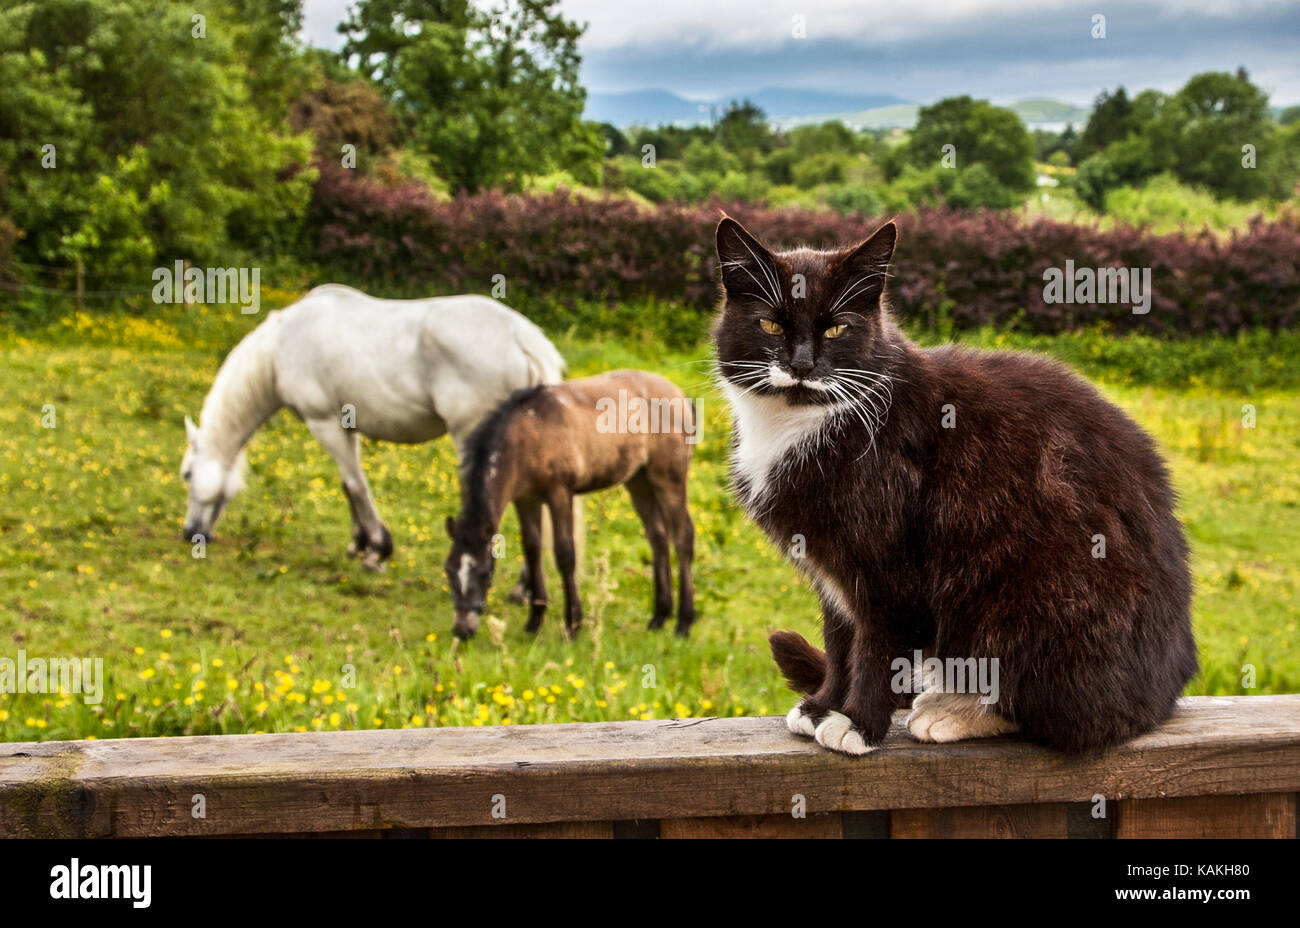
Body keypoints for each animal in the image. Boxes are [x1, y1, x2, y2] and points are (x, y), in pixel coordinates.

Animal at [180, 284, 566, 570]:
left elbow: (355, 485)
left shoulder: (324, 423)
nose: (189, 533)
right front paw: (359, 544)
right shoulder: (345, 426)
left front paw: (377, 549)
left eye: (187, 474)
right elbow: (349, 485)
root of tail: (521, 337)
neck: (281, 346)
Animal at [444, 369, 697, 641]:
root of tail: (680, 395)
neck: (526, 436)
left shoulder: (560, 493)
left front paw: (573, 624)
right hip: (638, 480)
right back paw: (659, 616)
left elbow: (565, 553)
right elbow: (532, 549)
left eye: (484, 573)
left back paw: (683, 622)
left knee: (682, 537)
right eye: (449, 570)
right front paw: (534, 621)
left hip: (668, 479)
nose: (462, 630)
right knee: (657, 537)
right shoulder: (526, 500)